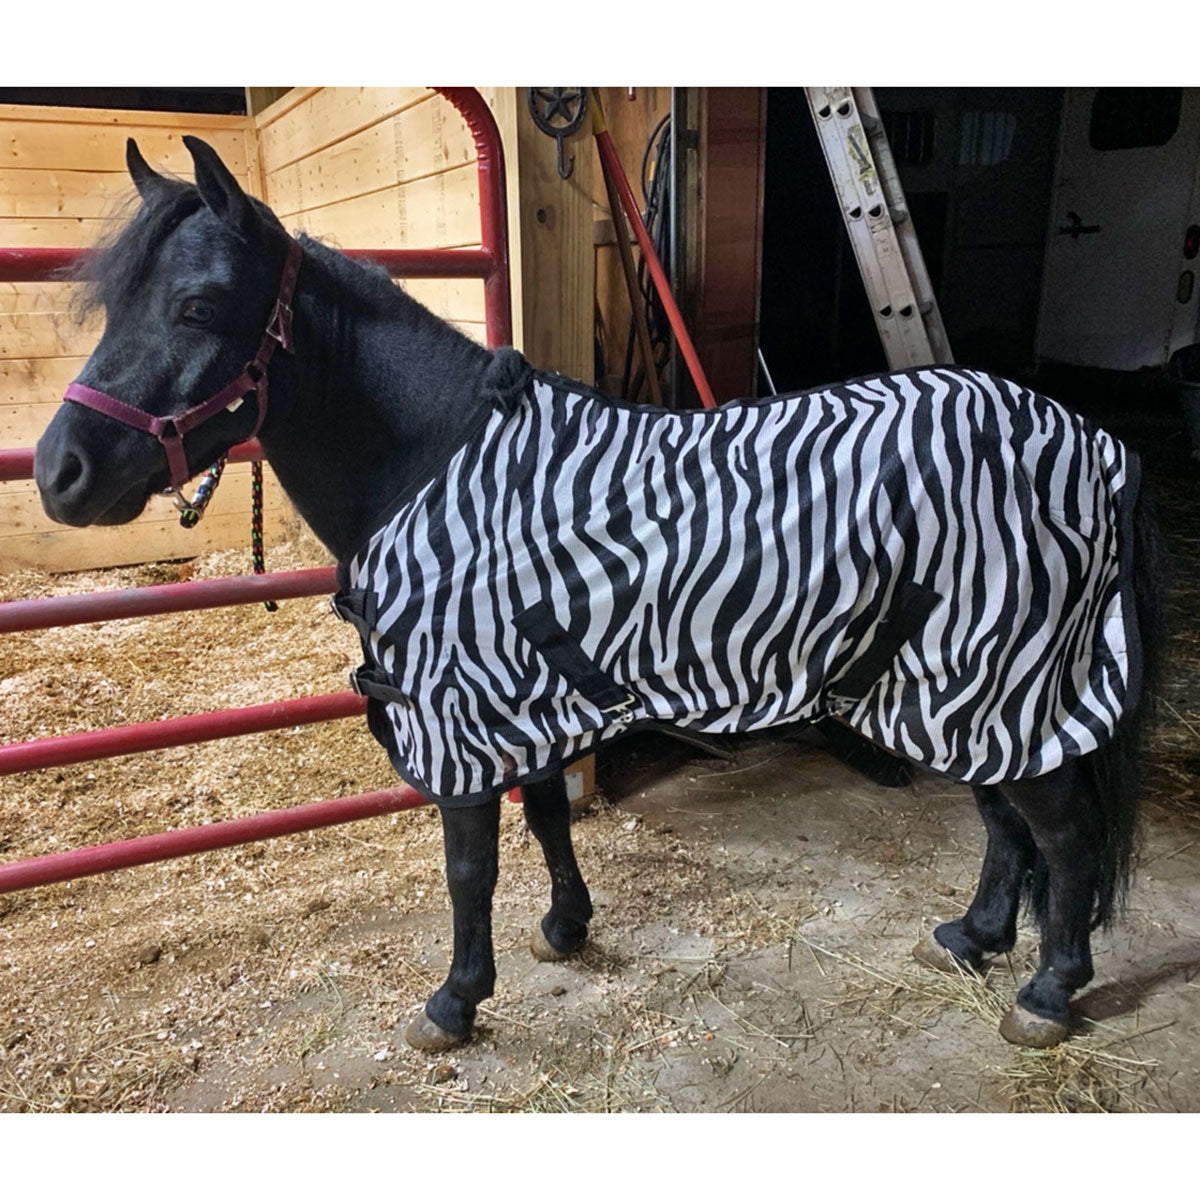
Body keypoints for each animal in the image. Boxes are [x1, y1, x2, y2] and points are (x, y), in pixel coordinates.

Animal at [33, 136, 1164, 1054]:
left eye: (198, 307)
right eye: (116, 306)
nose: (58, 474)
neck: (434, 466)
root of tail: (1093, 443)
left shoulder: (465, 707)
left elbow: (470, 867)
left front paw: (455, 1001)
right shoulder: (521, 694)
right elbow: (545, 818)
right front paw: (565, 929)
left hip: (995, 672)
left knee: (1061, 830)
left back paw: (1049, 993)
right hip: (943, 682)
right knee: (1007, 818)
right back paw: (972, 939)